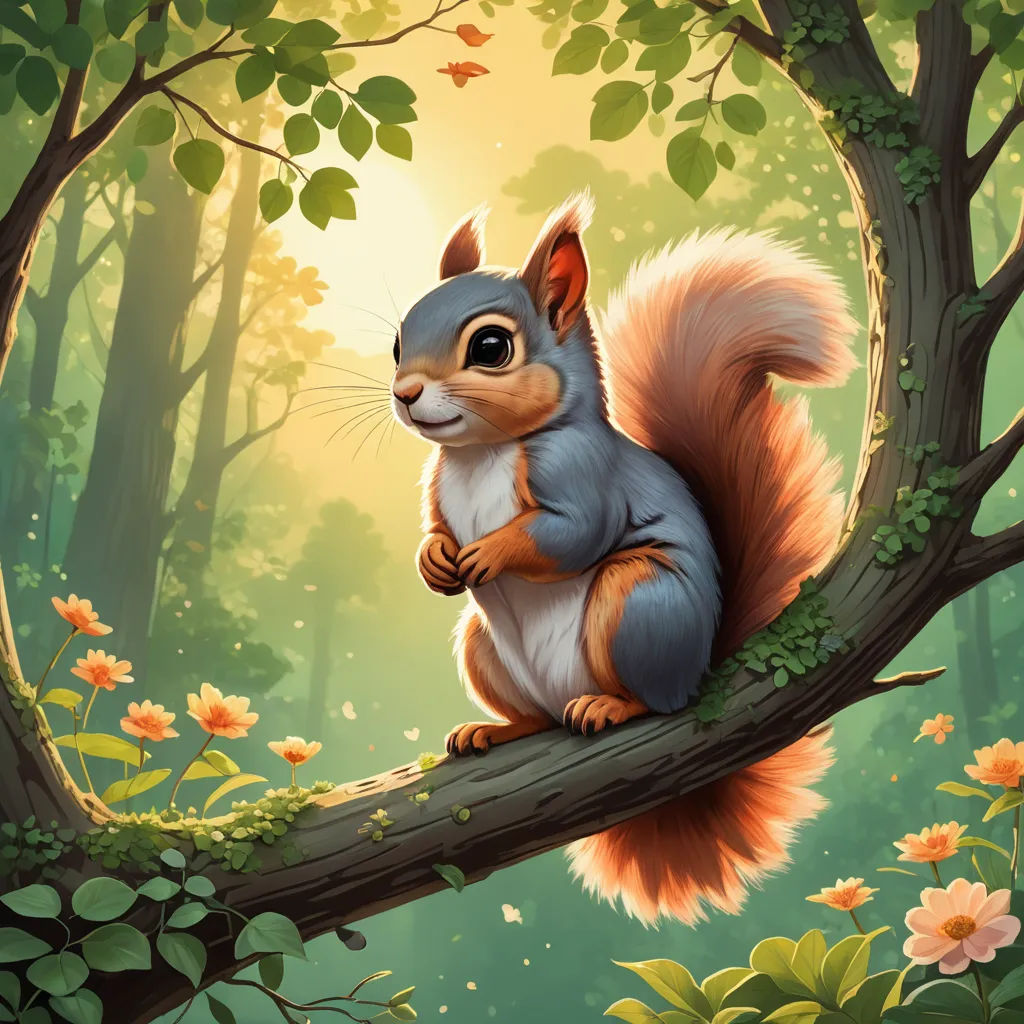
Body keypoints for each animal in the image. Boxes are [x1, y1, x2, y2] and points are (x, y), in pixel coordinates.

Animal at [389, 193, 857, 924]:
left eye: (490, 347)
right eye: (397, 342)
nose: (405, 393)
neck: (485, 451)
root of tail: (700, 667)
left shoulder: (586, 478)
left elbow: (572, 534)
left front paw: (490, 552)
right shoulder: (438, 489)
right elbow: (435, 529)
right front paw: (436, 560)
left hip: (639, 601)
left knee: (657, 701)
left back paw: (611, 709)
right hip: (484, 648)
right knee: (535, 715)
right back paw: (494, 730)